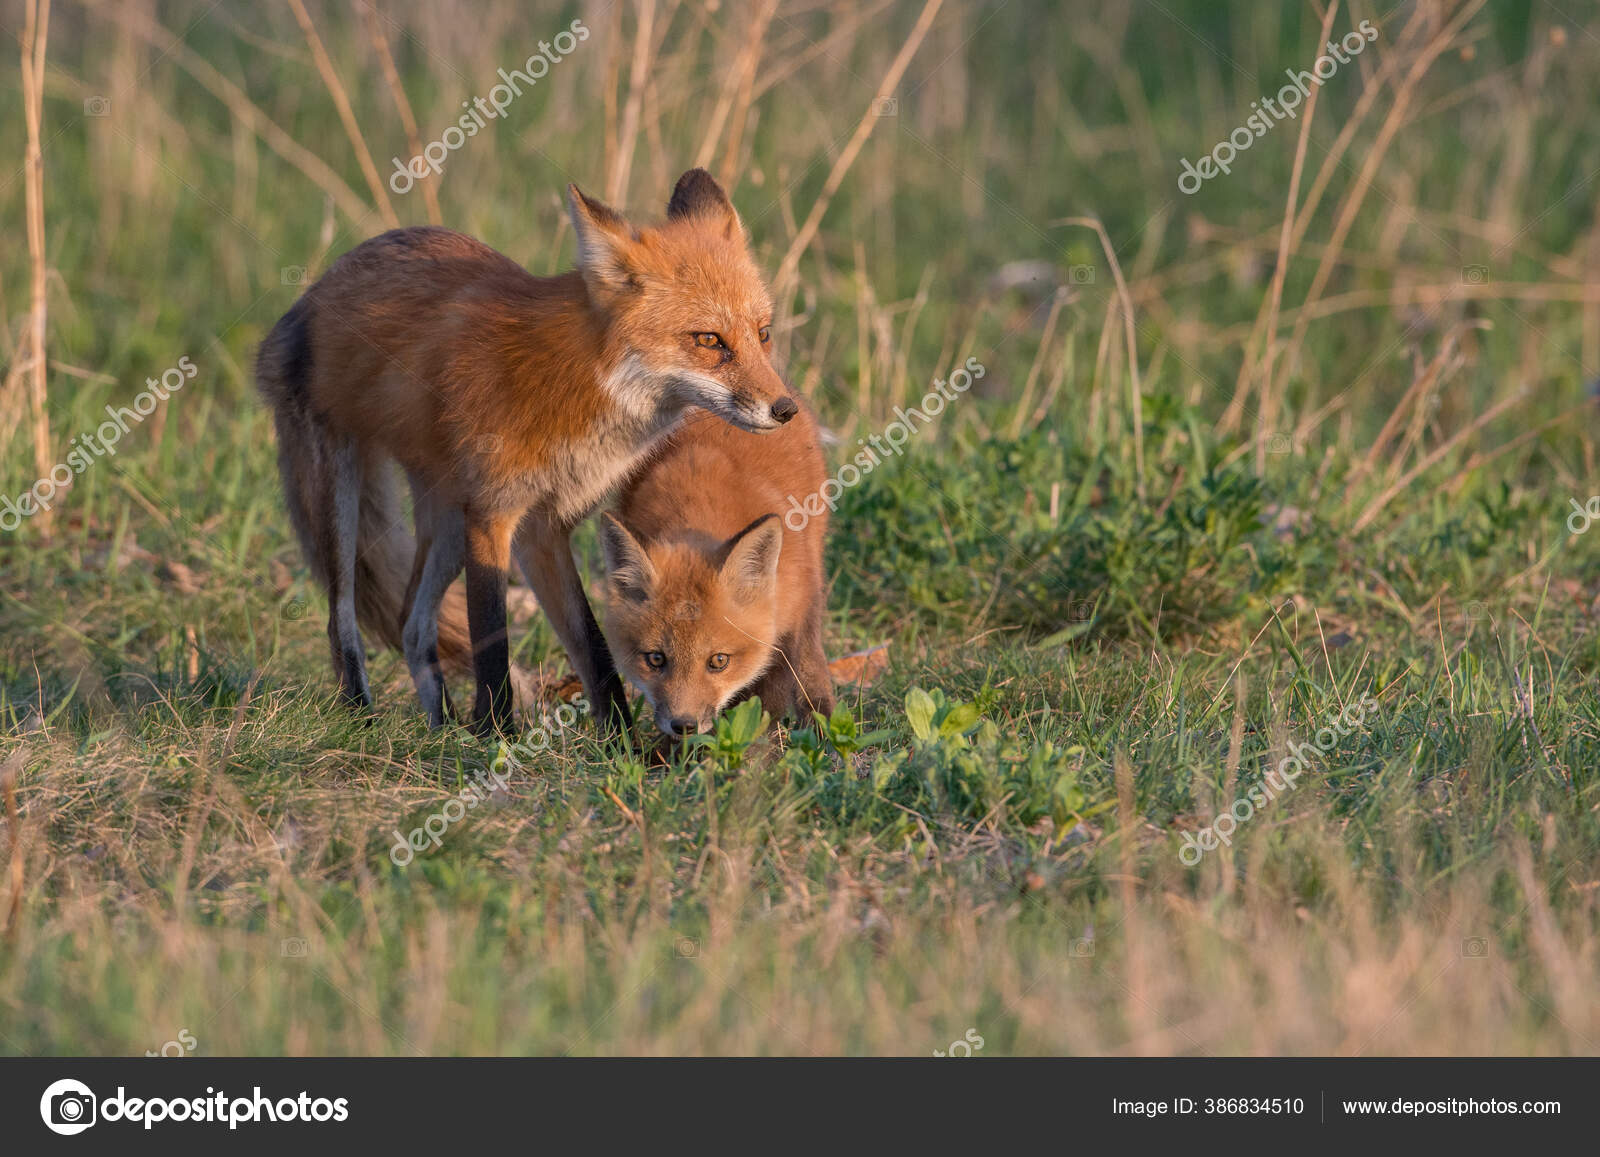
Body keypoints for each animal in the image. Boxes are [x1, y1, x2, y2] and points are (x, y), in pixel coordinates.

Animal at [254, 168, 798, 736]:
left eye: (762, 334)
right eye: (709, 340)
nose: (786, 409)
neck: (573, 387)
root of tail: (315, 289)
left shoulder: (545, 524)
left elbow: (591, 644)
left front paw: (619, 739)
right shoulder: (493, 514)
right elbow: (491, 637)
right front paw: (491, 734)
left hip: (446, 520)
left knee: (411, 624)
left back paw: (438, 727)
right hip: (342, 502)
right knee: (341, 621)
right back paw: (363, 715)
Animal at [599, 396, 834, 737]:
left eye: (719, 661)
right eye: (656, 659)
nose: (684, 726)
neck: (699, 507)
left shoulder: (788, 616)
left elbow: (768, 701)